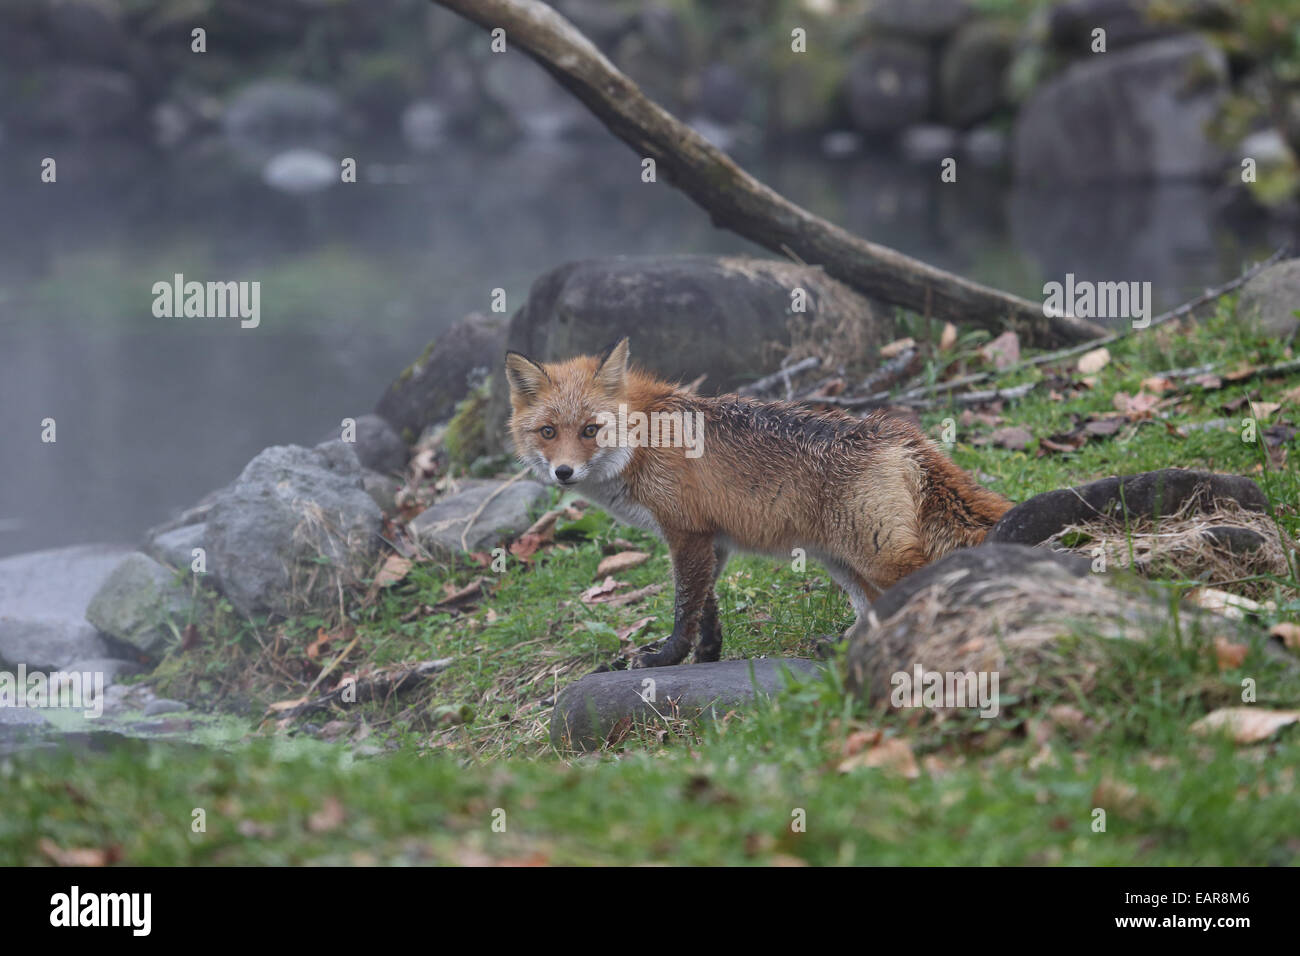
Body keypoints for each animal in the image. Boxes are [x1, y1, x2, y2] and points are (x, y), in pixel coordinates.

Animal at [505, 337, 1013, 668]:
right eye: (548, 432)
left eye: (591, 430)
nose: (563, 473)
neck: (644, 441)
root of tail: (901, 436)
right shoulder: (711, 540)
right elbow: (707, 608)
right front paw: (708, 656)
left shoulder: (686, 533)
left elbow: (684, 608)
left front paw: (666, 658)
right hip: (842, 560)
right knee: (873, 606)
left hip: (877, 555)